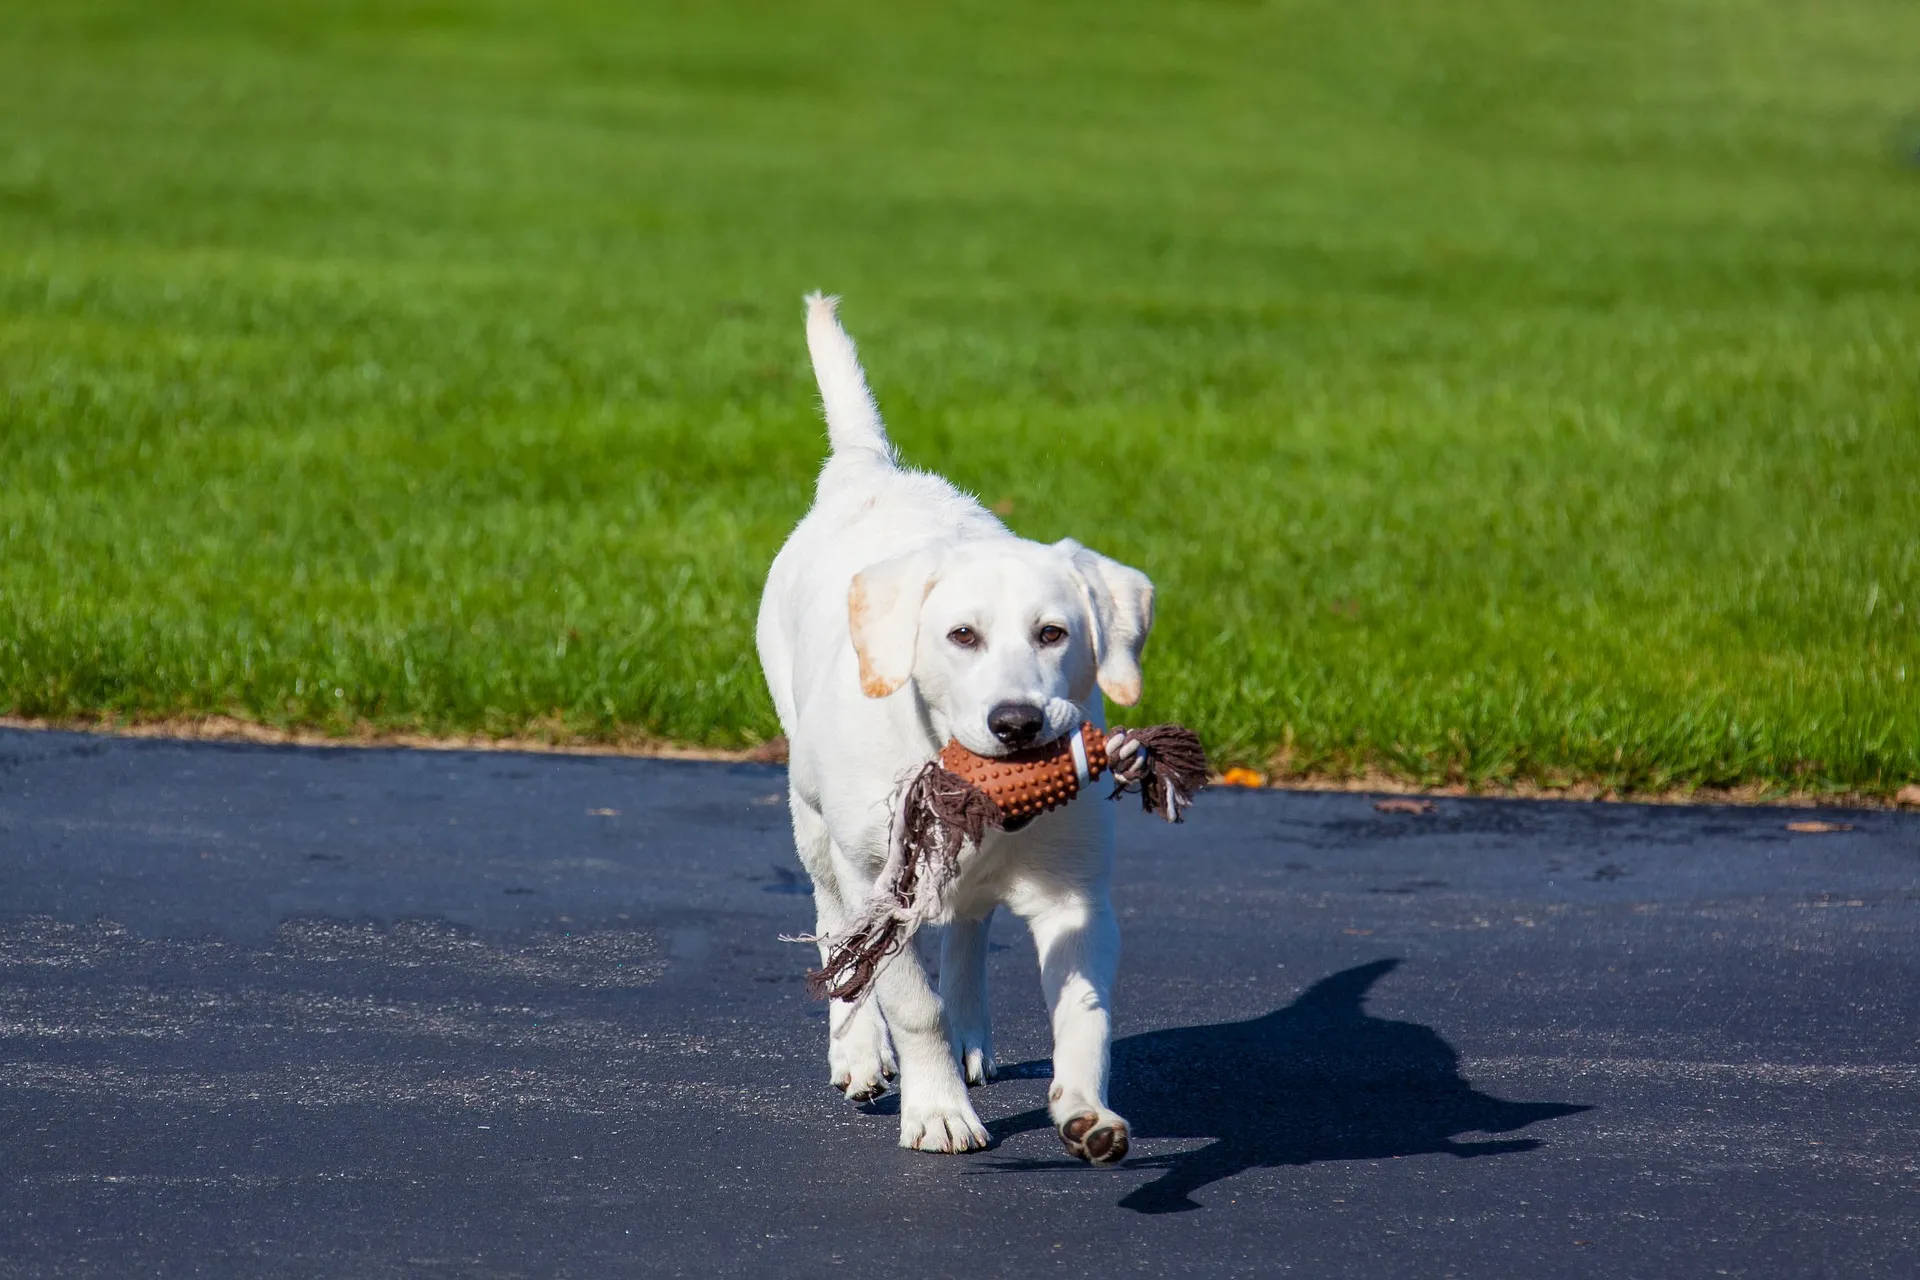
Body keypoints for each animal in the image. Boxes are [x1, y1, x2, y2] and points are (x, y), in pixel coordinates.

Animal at [756, 295, 1152, 1166]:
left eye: (1053, 633)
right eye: (960, 636)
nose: (1016, 722)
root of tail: (872, 470)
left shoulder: (1078, 892)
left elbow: (1083, 1010)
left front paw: (1085, 1109)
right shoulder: (877, 877)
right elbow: (909, 999)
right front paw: (935, 1111)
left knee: (969, 929)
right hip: (814, 824)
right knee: (835, 931)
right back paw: (857, 1048)